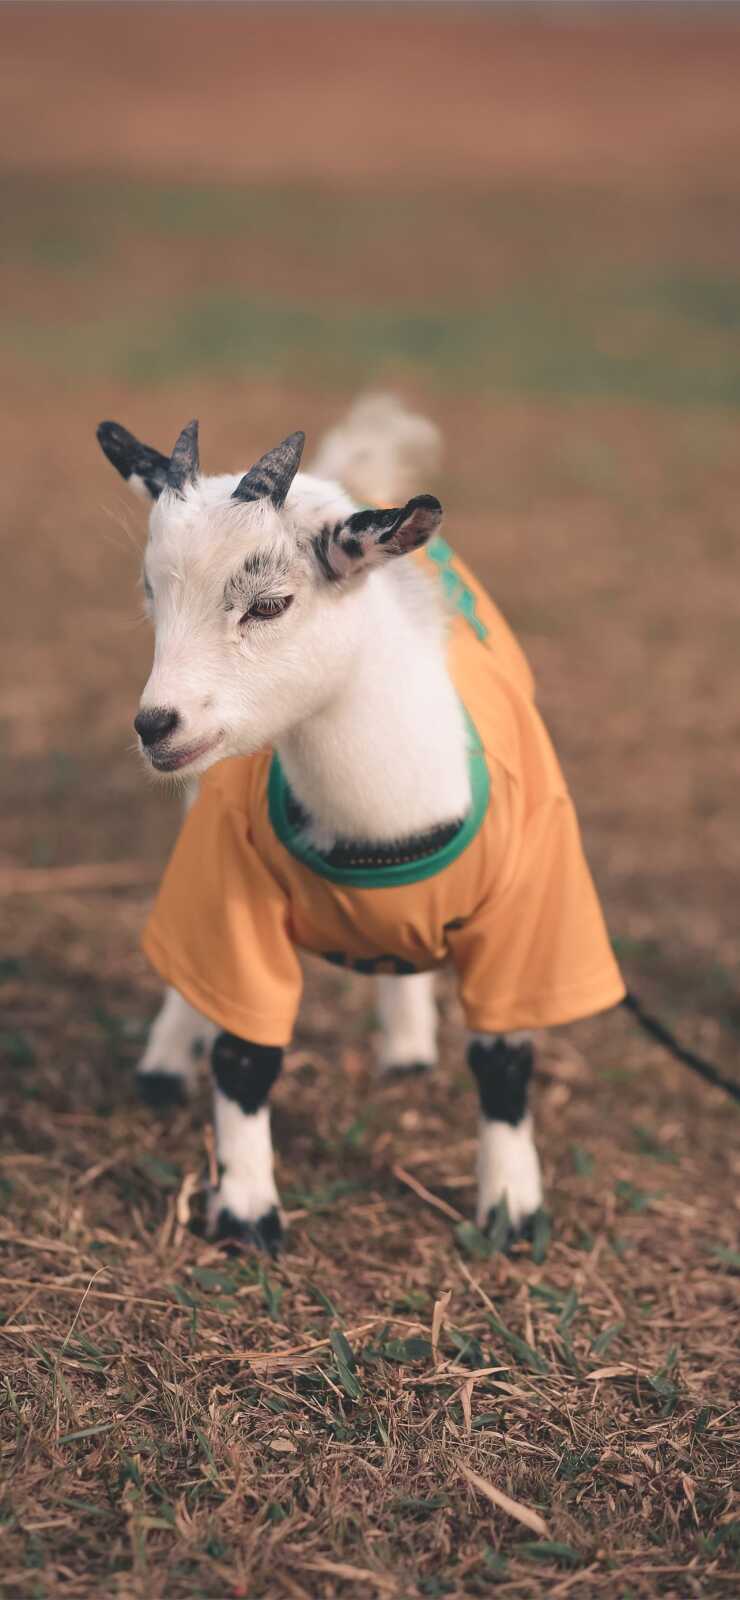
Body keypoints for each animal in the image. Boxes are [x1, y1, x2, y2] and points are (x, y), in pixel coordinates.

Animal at [96, 396, 625, 1253]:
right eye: (151, 593)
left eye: (270, 603)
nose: (155, 726)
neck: (381, 826)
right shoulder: (233, 886)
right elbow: (243, 1050)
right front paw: (246, 1212)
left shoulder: (531, 913)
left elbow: (506, 1061)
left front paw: (512, 1212)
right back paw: (166, 1063)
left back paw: (406, 1047)